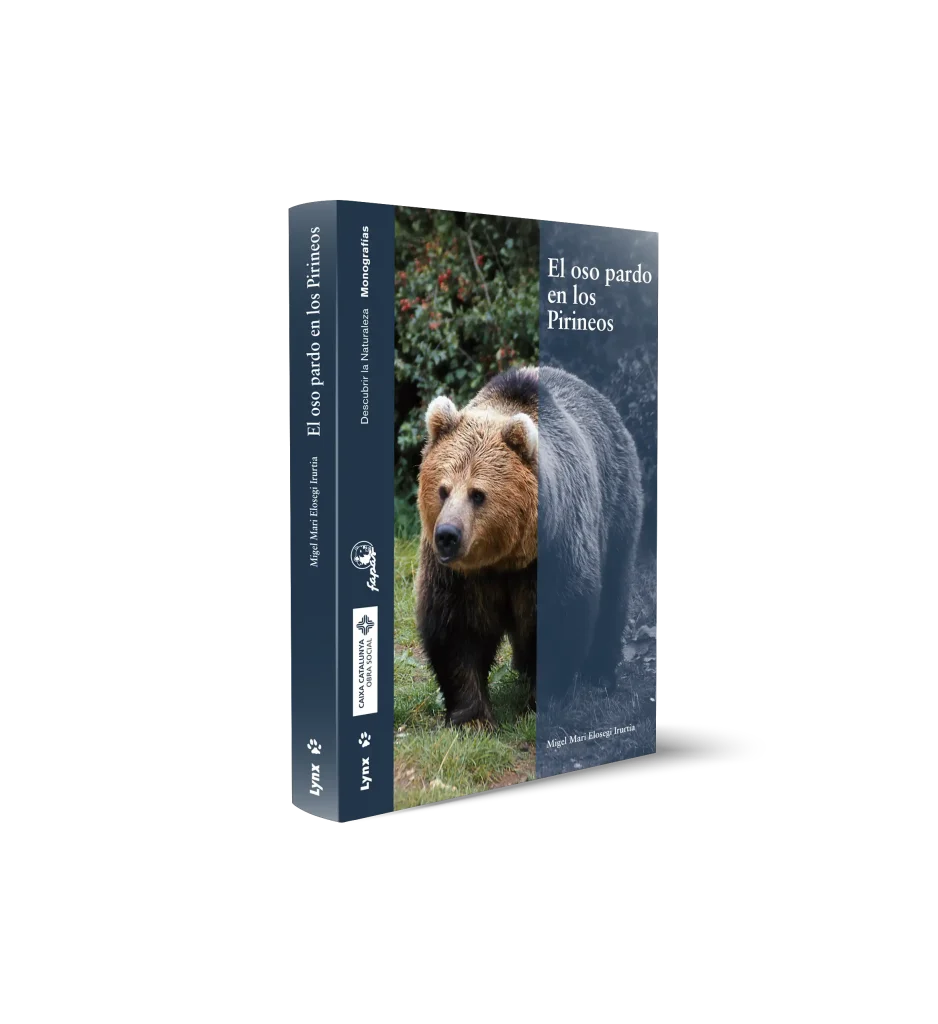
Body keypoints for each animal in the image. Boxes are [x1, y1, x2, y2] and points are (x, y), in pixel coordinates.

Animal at [415, 365, 642, 729]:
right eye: (443, 489)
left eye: (478, 494)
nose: (448, 535)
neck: (505, 557)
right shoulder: (461, 575)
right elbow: (455, 627)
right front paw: (472, 717)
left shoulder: (556, 549)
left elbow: (560, 617)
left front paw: (543, 702)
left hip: (617, 506)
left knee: (613, 589)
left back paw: (600, 675)